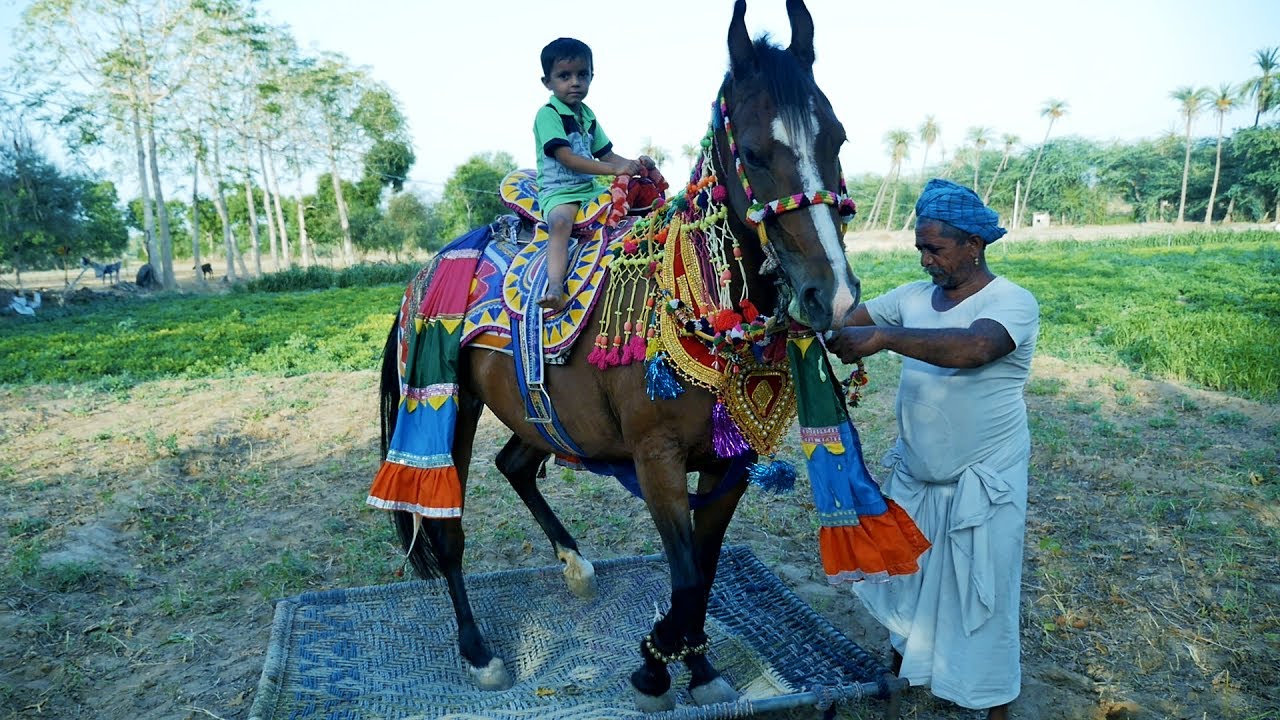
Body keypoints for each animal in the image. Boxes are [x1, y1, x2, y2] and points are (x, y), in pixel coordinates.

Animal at [376, 0, 862, 710]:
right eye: (751, 152)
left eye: (838, 141)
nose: (836, 296)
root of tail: (428, 268)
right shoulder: (655, 458)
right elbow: (684, 575)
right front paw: (654, 667)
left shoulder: (730, 463)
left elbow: (704, 572)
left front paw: (697, 666)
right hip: (449, 405)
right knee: (446, 527)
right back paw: (479, 652)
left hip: (537, 412)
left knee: (514, 463)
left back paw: (575, 565)